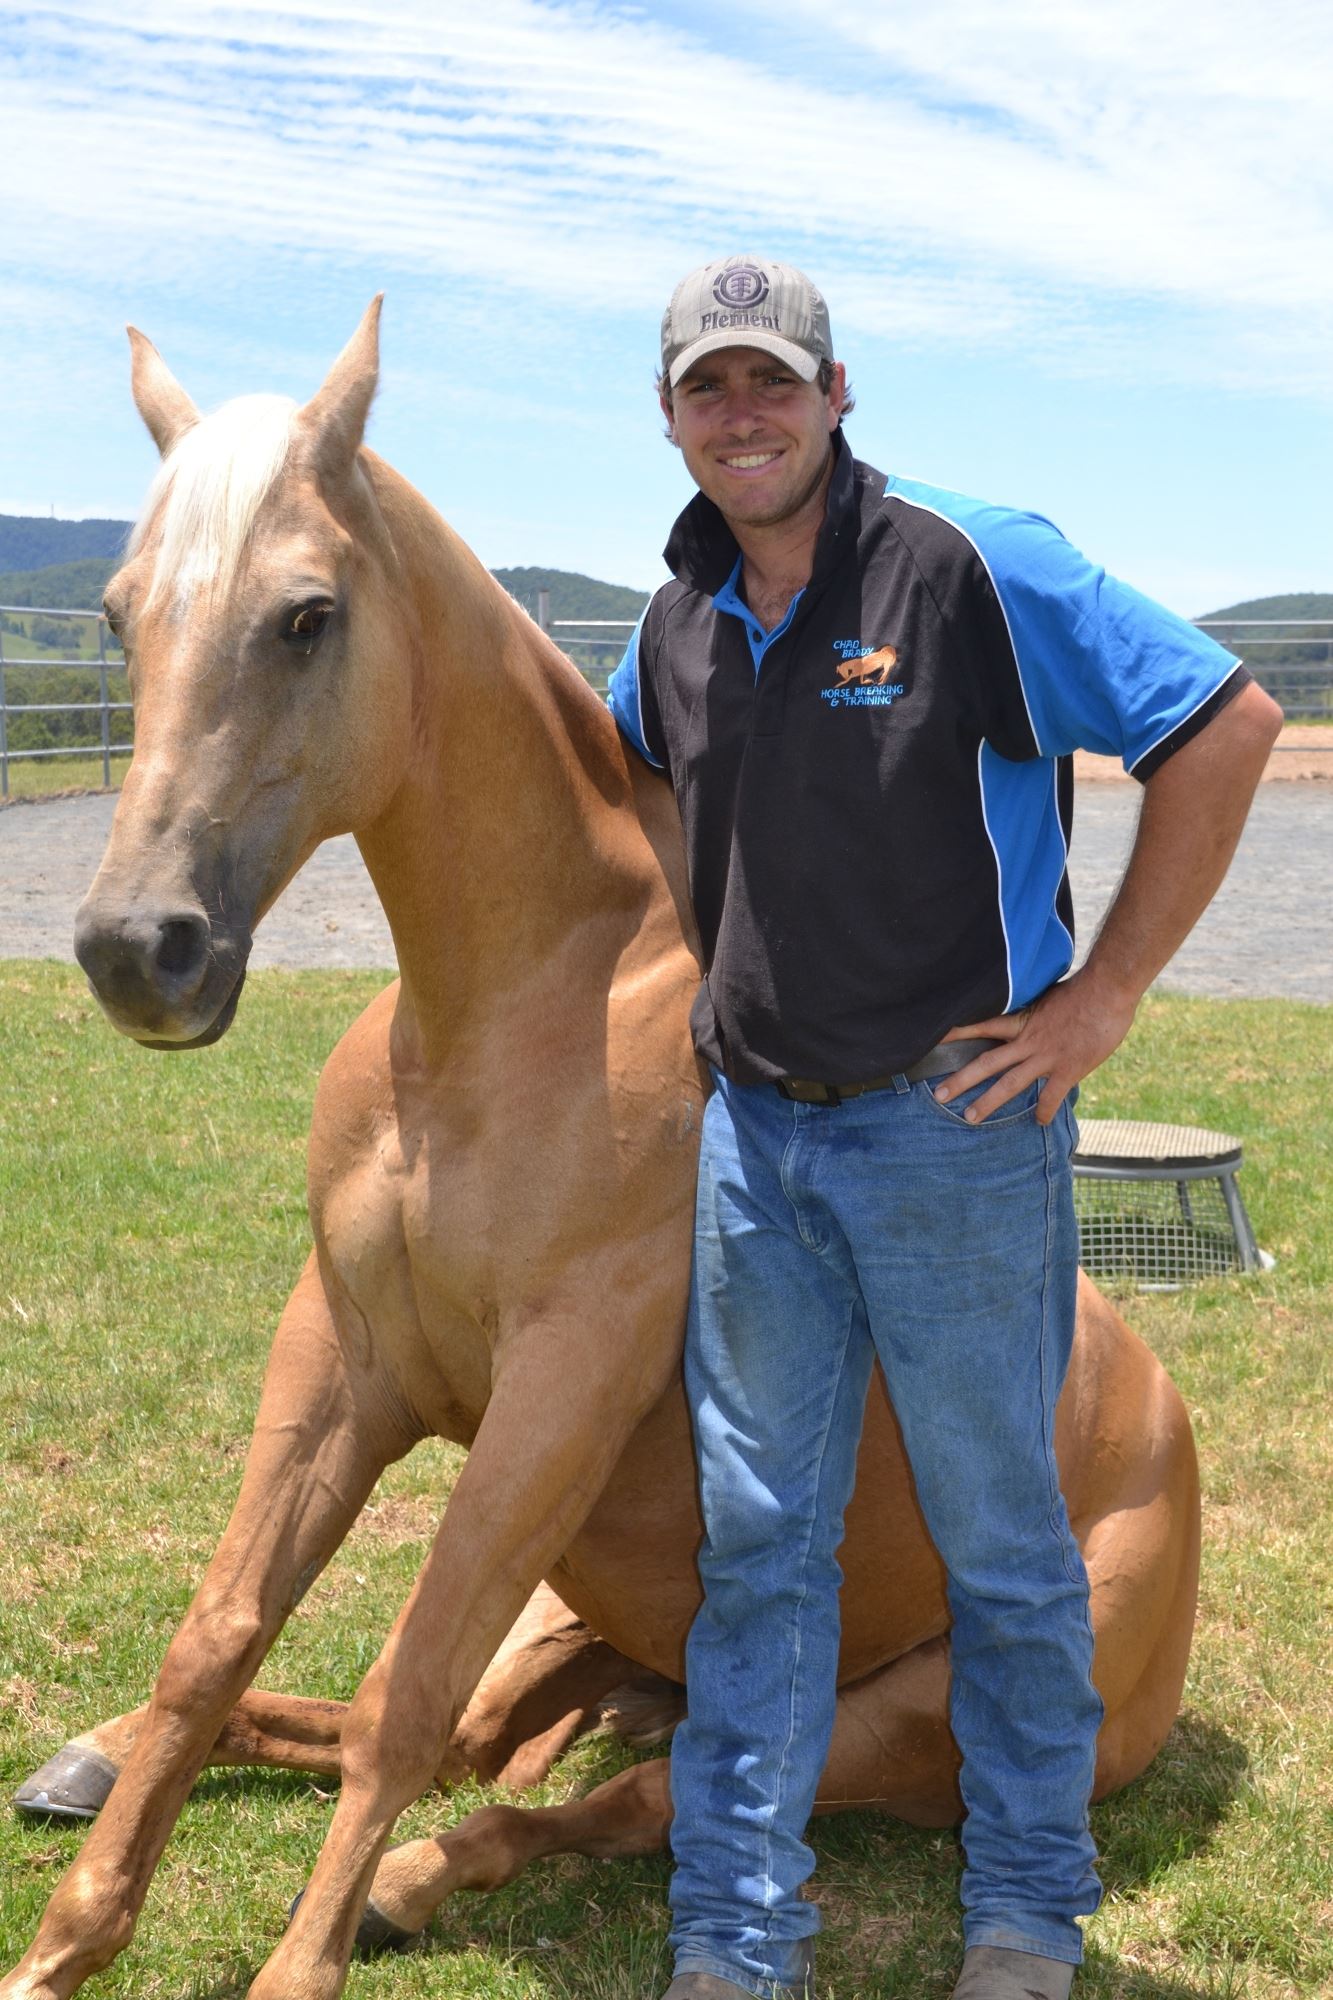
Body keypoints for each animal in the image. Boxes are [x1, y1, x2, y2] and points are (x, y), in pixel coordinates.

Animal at [3, 302, 1201, 2000]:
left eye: (305, 617)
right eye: (116, 618)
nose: (138, 949)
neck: (506, 1026)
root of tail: (1167, 1436)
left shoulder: (557, 1390)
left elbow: (399, 1703)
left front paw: (297, 1964)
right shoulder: (341, 1358)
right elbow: (215, 1644)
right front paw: (67, 1940)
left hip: (892, 1724)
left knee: (618, 1795)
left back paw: (417, 1881)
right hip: (579, 1623)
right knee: (482, 1745)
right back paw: (98, 1761)